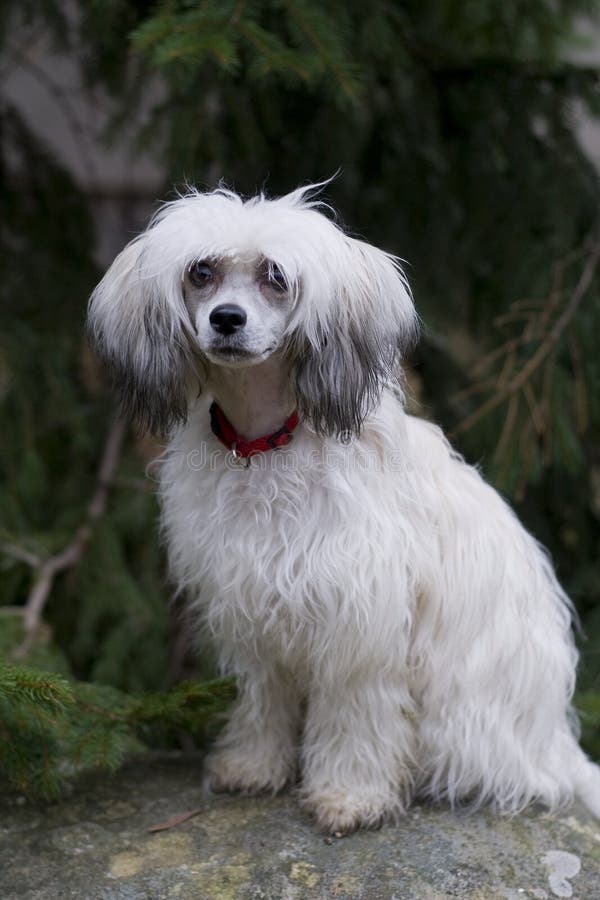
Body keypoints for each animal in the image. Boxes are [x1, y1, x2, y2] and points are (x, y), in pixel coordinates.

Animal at [88, 185, 600, 836]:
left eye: (275, 276)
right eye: (201, 272)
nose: (226, 318)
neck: (268, 444)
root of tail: (554, 741)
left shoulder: (359, 622)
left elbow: (356, 715)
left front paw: (351, 794)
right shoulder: (255, 609)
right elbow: (265, 698)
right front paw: (255, 763)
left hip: (460, 722)